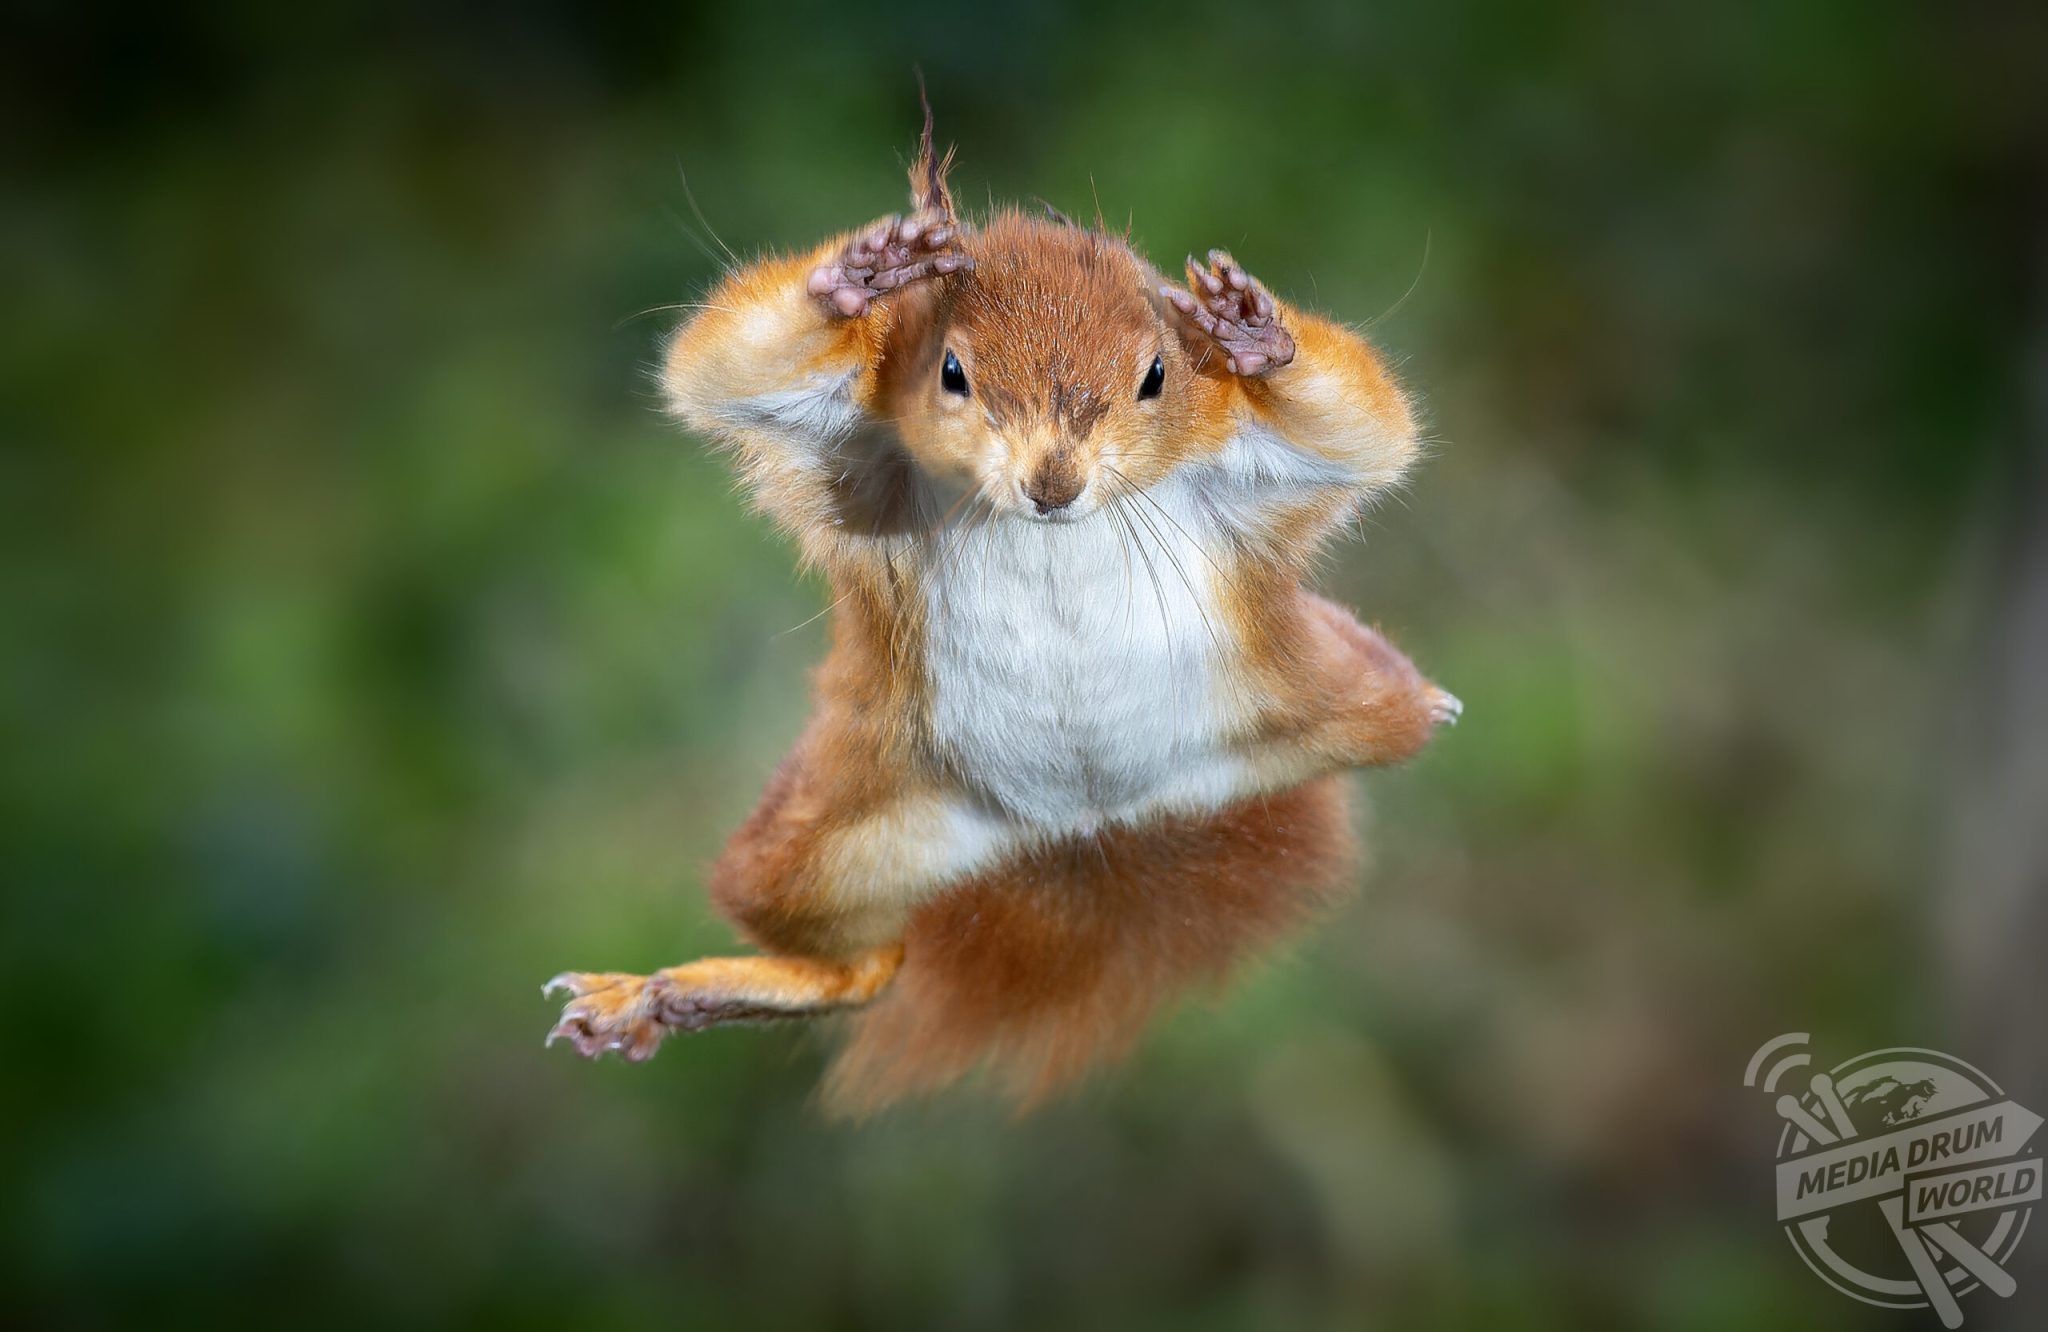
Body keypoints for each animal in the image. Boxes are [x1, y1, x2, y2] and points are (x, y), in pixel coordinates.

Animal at [544, 104, 1460, 1114]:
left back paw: (1427, 700)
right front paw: (859, 277)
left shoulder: (1242, 466)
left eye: (1156, 376)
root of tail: (1077, 827)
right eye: (951, 370)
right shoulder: (857, 454)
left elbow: (1364, 429)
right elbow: (724, 366)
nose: (1052, 484)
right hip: (833, 837)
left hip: (1305, 702)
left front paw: (1254, 333)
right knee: (861, 967)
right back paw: (660, 997)